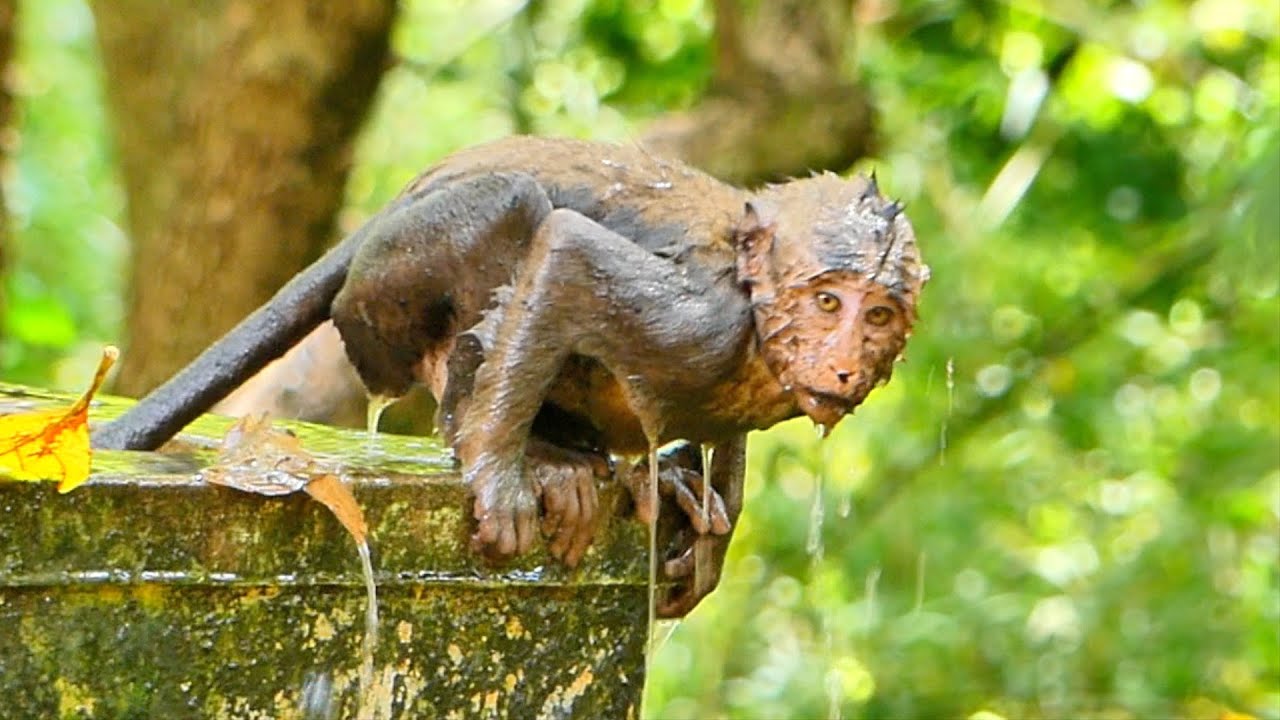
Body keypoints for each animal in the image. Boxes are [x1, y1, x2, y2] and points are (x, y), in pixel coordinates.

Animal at [92, 136, 927, 616]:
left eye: (879, 316)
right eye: (828, 301)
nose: (846, 364)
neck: (755, 336)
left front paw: (709, 519)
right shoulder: (699, 322)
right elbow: (567, 252)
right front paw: (498, 470)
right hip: (386, 287)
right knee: (515, 207)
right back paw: (537, 446)